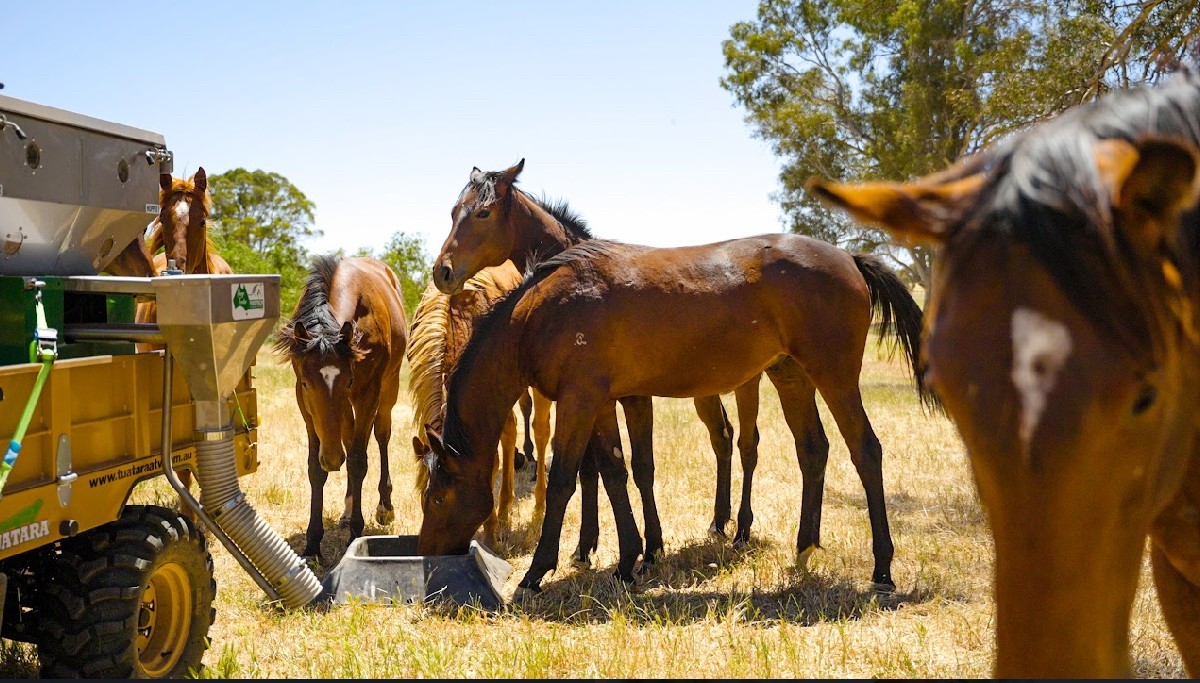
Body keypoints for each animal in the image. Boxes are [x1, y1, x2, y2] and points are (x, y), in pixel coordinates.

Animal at [273, 254, 408, 560]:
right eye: (308, 384)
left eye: (348, 380)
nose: (332, 459)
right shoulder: (304, 403)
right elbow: (315, 467)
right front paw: (312, 544)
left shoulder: (367, 392)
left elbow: (358, 461)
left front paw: (356, 534)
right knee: (348, 439)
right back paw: (347, 509)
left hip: (388, 389)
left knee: (381, 437)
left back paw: (384, 506)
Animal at [406, 260, 552, 548]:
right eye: (422, 495)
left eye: (439, 499)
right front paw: (494, 522)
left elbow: (493, 460)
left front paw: (492, 531)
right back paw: (506, 509)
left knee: (540, 432)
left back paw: (538, 506)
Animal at [428, 161, 934, 581]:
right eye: (453, 211)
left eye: (482, 214)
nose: (443, 271)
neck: (542, 309)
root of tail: (850, 258)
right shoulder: (603, 400)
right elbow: (614, 470)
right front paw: (627, 557)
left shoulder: (583, 400)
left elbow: (571, 478)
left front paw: (541, 570)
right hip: (791, 377)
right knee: (810, 450)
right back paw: (802, 548)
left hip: (833, 378)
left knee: (860, 450)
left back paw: (879, 568)